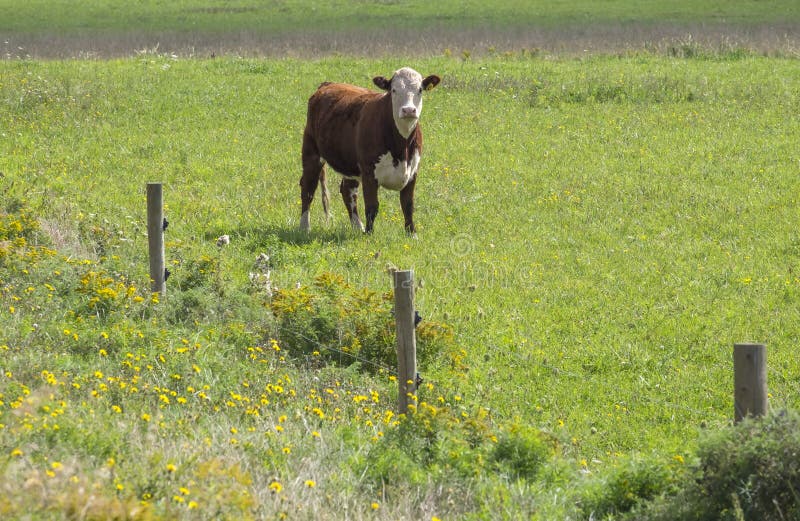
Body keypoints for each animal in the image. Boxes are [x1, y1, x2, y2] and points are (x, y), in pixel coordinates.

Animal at [299, 67, 441, 235]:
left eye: (420, 90)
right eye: (393, 90)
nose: (408, 110)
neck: (402, 148)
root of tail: (328, 84)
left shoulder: (412, 170)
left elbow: (408, 205)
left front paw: (411, 234)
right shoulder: (368, 172)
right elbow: (372, 206)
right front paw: (369, 234)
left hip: (349, 163)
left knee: (347, 191)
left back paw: (357, 226)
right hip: (311, 152)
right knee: (308, 188)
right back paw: (304, 227)